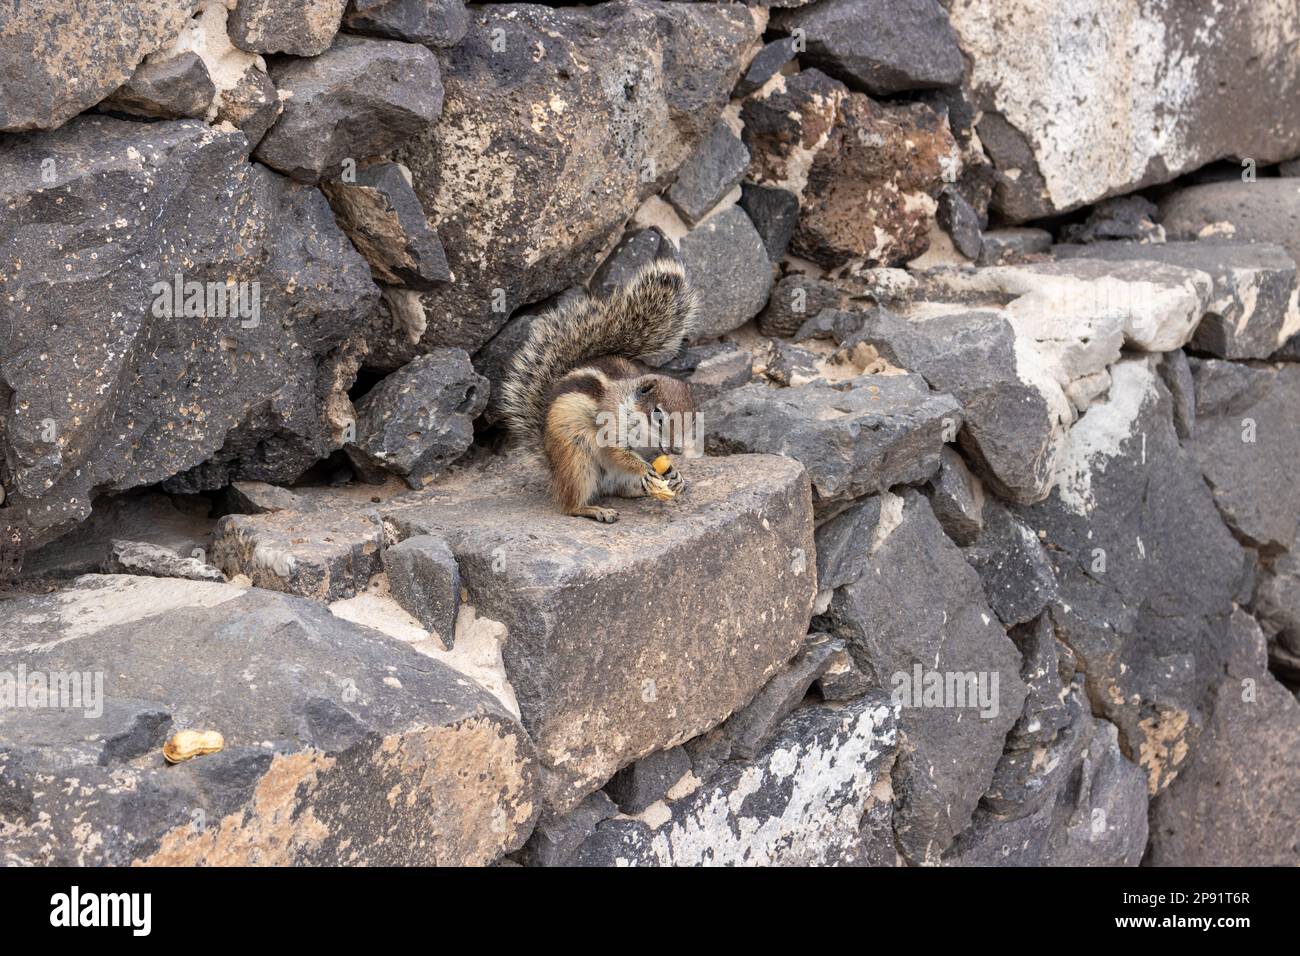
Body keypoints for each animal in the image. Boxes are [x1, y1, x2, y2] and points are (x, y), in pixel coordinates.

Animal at [499, 259, 699, 523]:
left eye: (692, 419)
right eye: (657, 415)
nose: (677, 449)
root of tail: (551, 463)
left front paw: (675, 474)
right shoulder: (611, 426)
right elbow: (618, 453)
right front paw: (645, 470)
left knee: (621, 490)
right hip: (577, 460)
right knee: (569, 504)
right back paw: (596, 509)